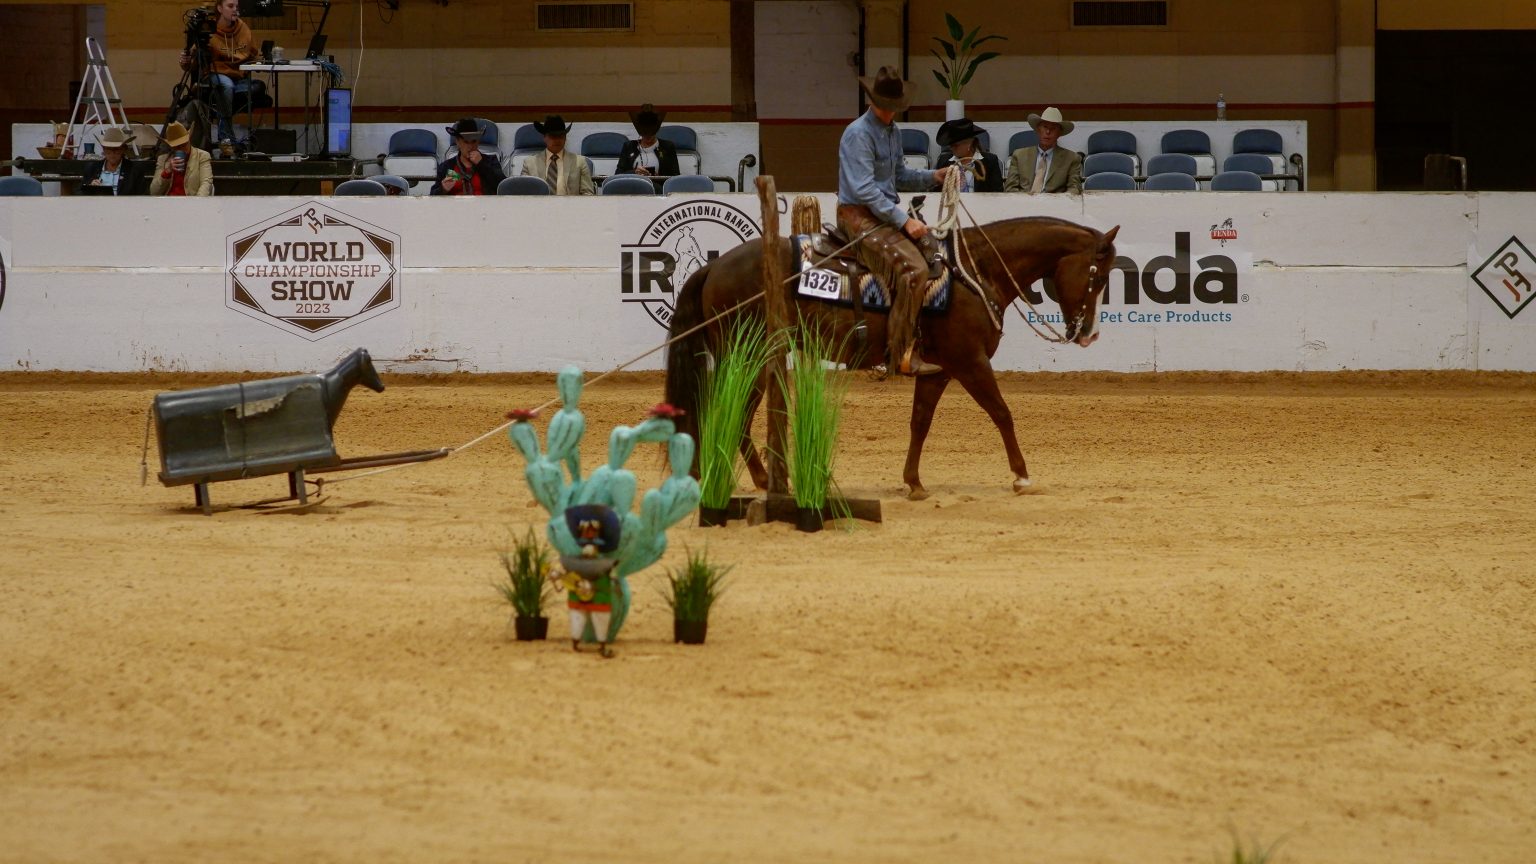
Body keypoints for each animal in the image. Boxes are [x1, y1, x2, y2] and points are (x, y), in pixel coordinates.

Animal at [663, 216, 1120, 500]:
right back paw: (750, 478)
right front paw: (1022, 476)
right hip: (750, 353)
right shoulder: (970, 362)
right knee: (728, 409)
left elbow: (920, 422)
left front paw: (913, 482)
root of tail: (715, 266)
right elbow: (1002, 413)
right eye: (1099, 276)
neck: (975, 272)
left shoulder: (938, 370)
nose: (1090, 334)